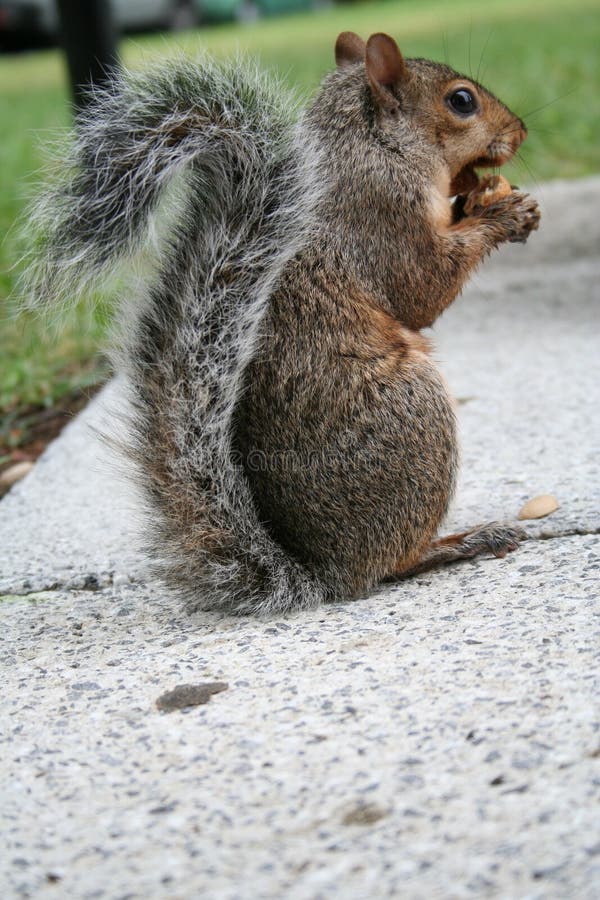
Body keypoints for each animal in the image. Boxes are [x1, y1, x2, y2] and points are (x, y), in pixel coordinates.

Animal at [23, 31, 540, 615]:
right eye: (461, 101)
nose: (521, 131)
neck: (368, 143)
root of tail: (323, 572)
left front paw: (483, 197)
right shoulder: (380, 216)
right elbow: (420, 289)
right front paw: (502, 215)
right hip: (414, 412)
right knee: (392, 564)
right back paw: (462, 541)